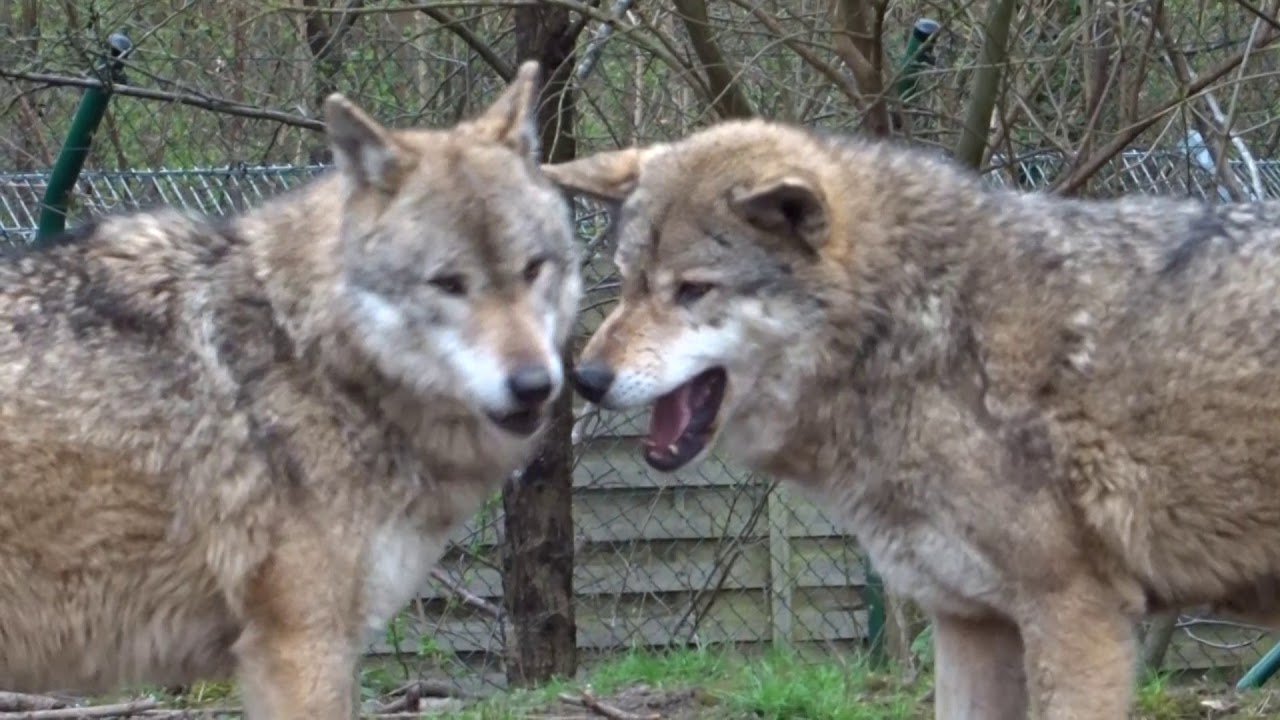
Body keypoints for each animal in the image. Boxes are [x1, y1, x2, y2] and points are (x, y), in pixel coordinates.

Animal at [544, 120, 1280, 719]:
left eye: (693, 290)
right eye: (626, 280)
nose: (584, 379)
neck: (919, 331)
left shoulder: (1077, 613)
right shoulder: (969, 621)